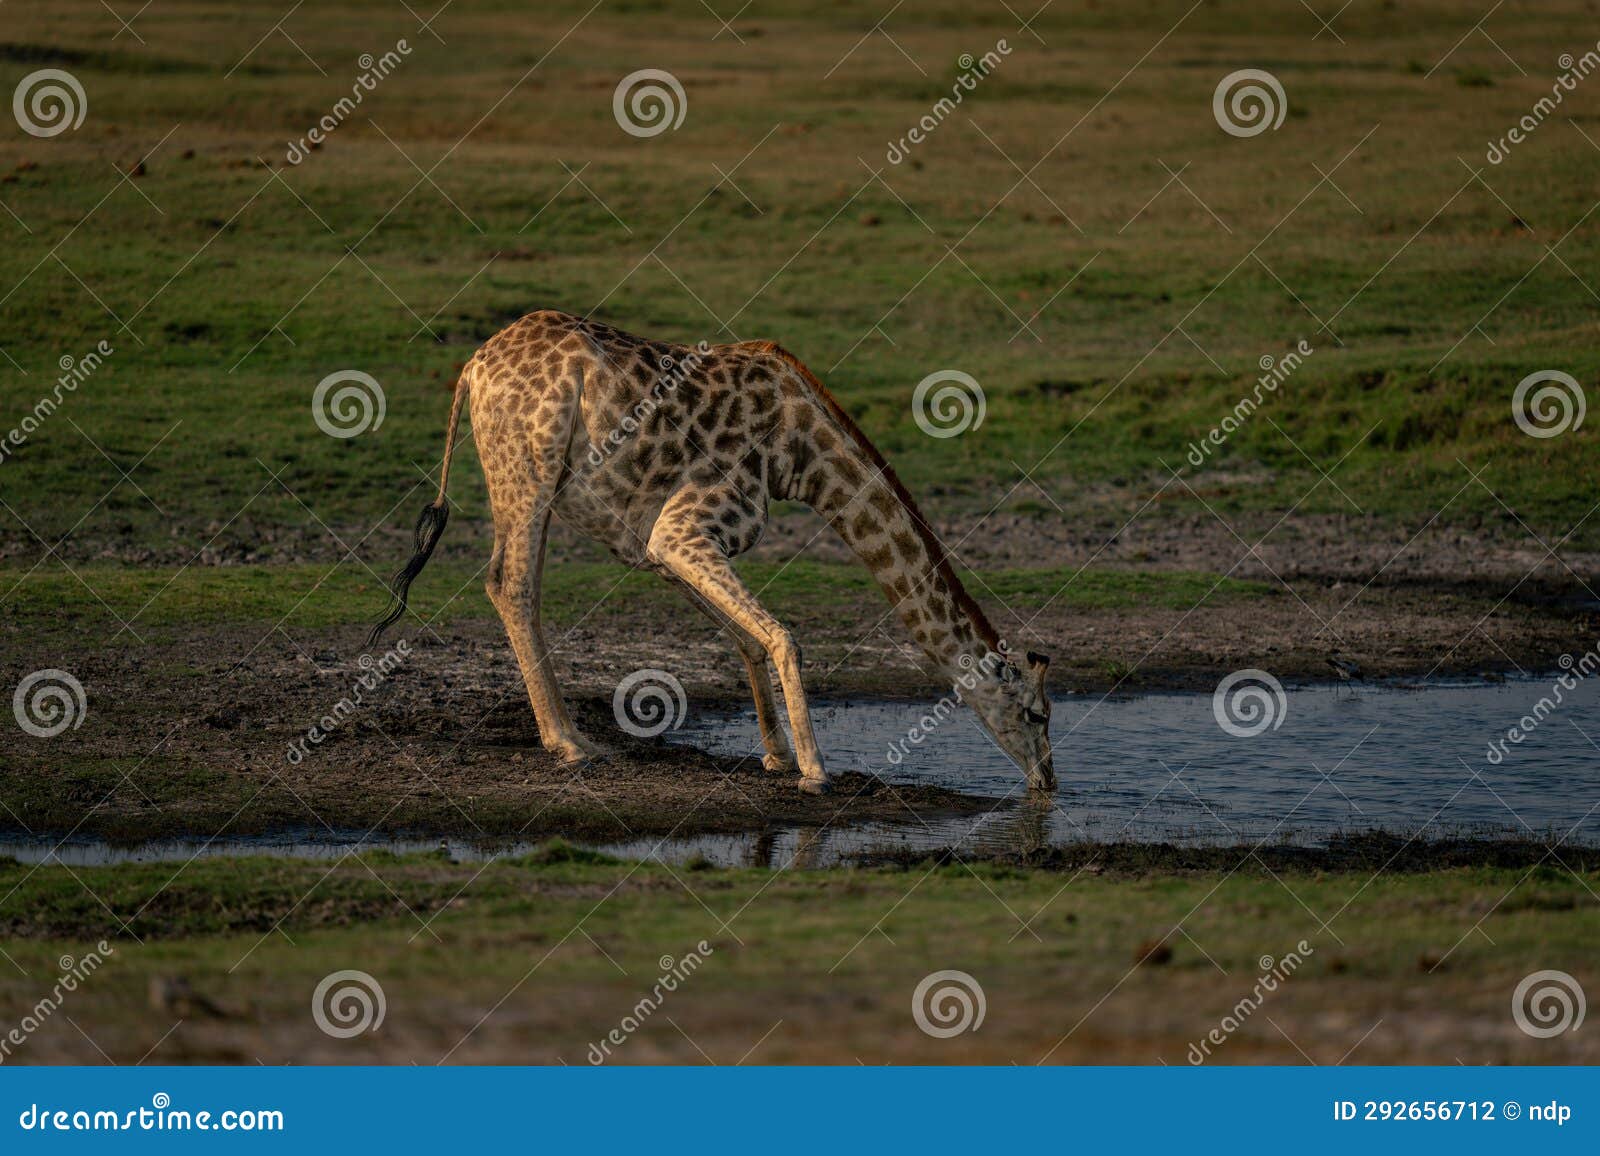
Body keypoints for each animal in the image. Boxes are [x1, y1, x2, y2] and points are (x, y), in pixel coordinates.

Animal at [369, 310, 1055, 793]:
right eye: (1036, 714)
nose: (1048, 784)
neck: (801, 460)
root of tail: (472, 367)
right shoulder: (686, 528)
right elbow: (784, 636)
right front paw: (815, 771)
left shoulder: (655, 544)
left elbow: (749, 638)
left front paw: (776, 756)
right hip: (528, 470)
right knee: (511, 584)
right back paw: (569, 743)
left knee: (510, 583)